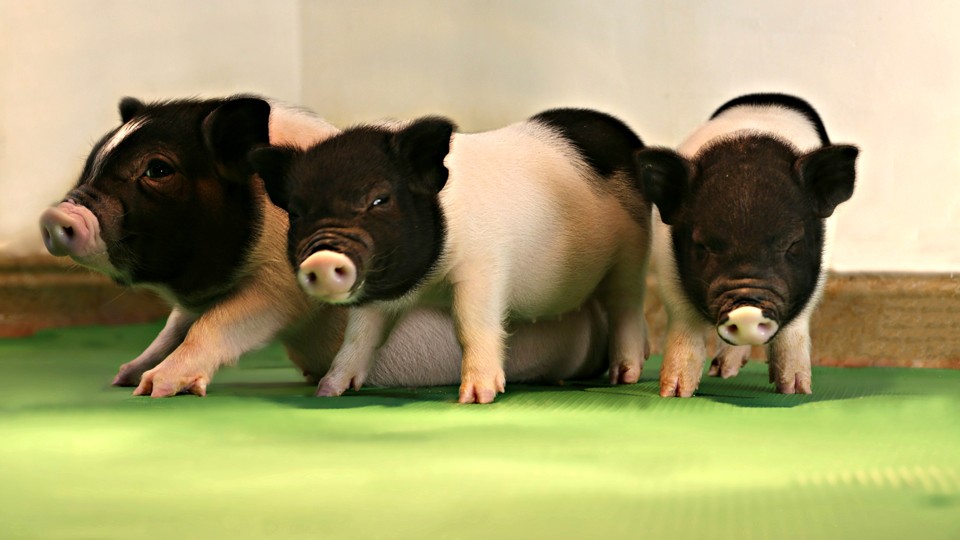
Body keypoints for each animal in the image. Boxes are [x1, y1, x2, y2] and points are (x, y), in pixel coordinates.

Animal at [38, 96, 611, 397]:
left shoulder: (278, 290)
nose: (55, 214)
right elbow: (171, 327)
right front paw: (124, 377)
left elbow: (215, 325)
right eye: (93, 160)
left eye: (157, 169)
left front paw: (154, 387)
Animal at [250, 109, 652, 404]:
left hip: (633, 252)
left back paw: (625, 376)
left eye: (379, 199)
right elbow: (360, 335)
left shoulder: (484, 269)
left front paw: (475, 397)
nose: (320, 257)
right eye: (297, 212)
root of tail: (623, 133)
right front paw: (328, 390)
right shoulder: (382, 290)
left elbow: (472, 325)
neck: (429, 283)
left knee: (626, 307)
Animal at [633, 93, 858, 397]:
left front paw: (796, 390)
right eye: (702, 246)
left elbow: (794, 329)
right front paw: (674, 392)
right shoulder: (667, 267)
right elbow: (685, 326)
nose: (746, 310)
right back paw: (721, 372)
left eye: (792, 243)